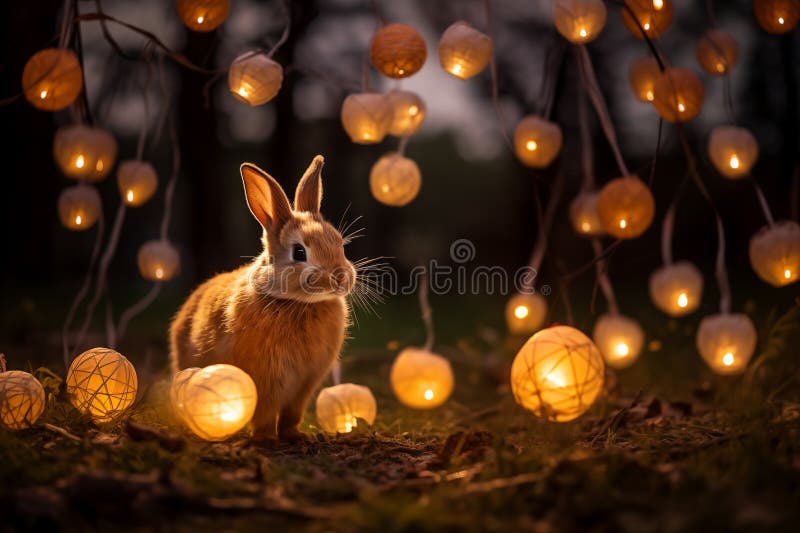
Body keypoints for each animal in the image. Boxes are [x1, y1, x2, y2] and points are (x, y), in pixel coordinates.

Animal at [169, 155, 356, 443]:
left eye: (339, 243)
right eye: (299, 252)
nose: (341, 278)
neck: (296, 303)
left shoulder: (304, 385)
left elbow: (292, 414)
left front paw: (296, 436)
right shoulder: (266, 379)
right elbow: (265, 412)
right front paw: (267, 439)